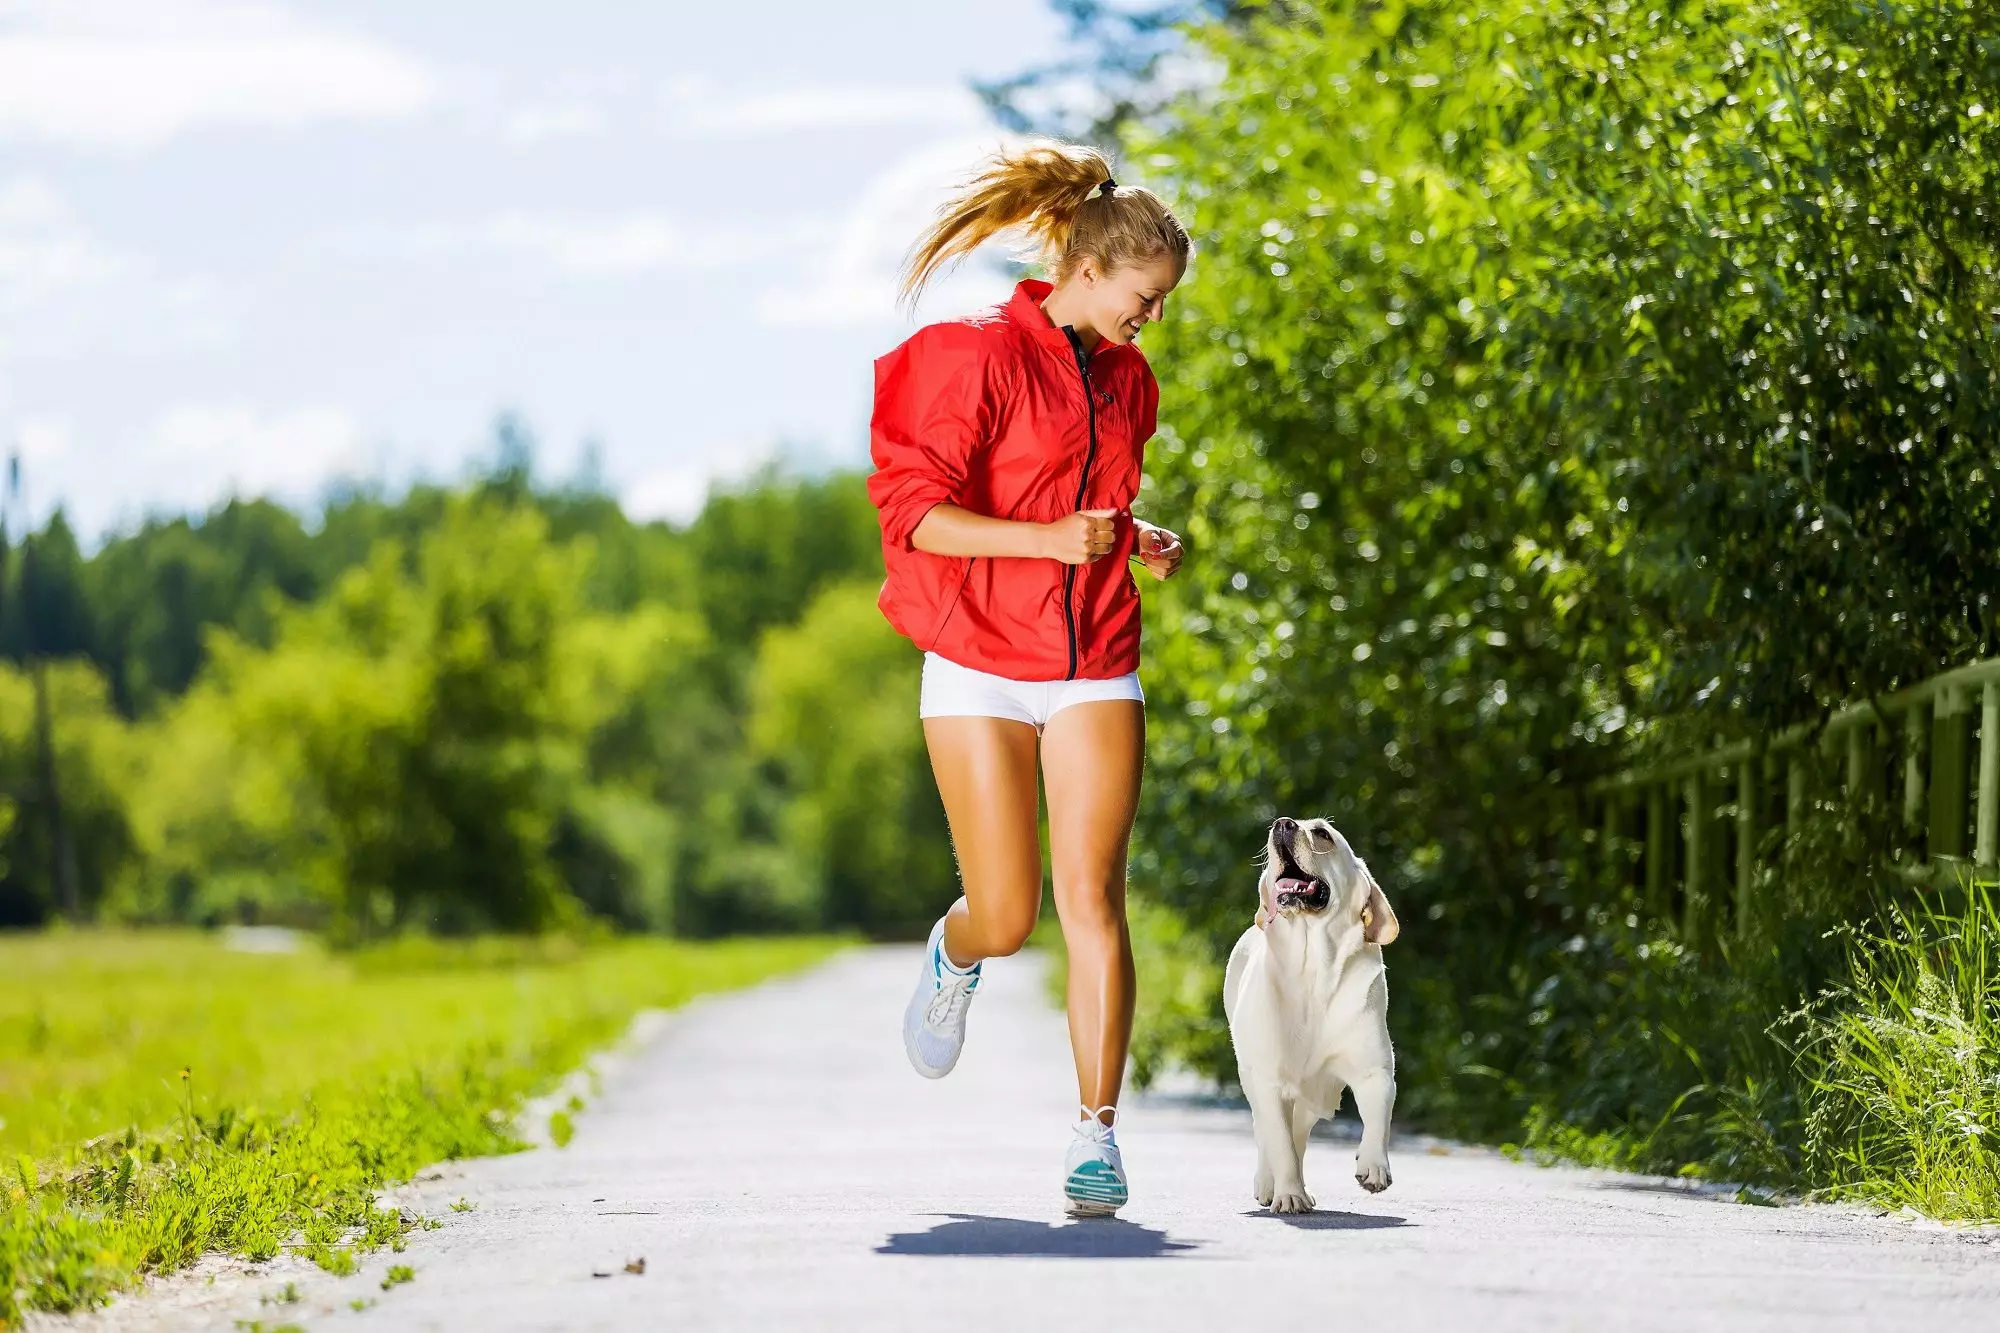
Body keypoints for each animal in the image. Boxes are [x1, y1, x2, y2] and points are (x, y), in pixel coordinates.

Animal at [1224, 804, 1400, 1208]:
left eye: (1322, 834)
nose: (1281, 824)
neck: (1313, 966)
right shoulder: (1269, 1081)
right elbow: (1279, 1144)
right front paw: (1288, 1195)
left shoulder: (1374, 1070)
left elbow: (1378, 1120)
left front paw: (1373, 1166)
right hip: (1253, 1077)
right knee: (1268, 1134)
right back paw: (1270, 1184)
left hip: (1313, 1098)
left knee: (1300, 1136)